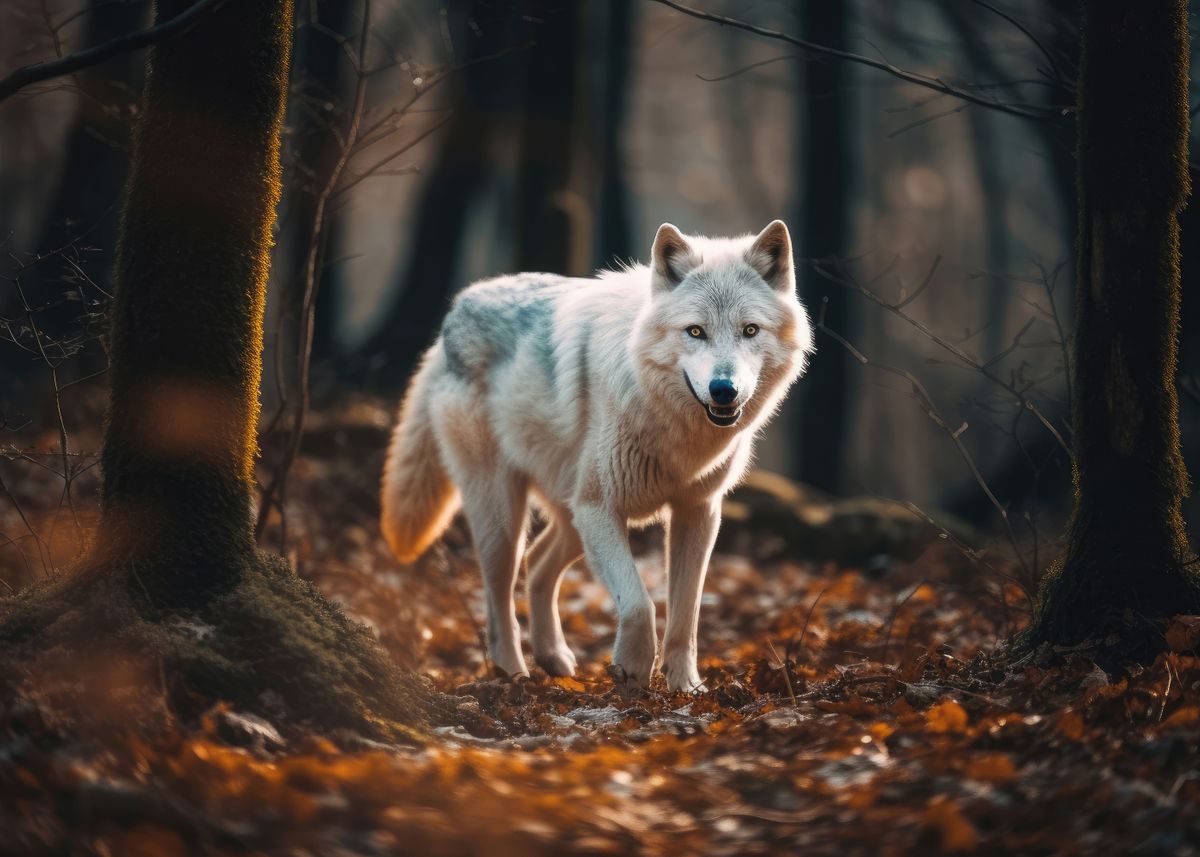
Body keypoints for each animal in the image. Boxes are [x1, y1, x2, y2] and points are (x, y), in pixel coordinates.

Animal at [380, 220, 815, 691]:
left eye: (750, 330)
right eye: (695, 331)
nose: (724, 390)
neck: (673, 428)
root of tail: (455, 312)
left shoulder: (697, 511)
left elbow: (686, 616)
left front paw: (686, 687)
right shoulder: (600, 508)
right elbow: (639, 605)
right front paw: (631, 677)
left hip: (572, 519)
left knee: (537, 564)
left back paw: (553, 658)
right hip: (507, 516)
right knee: (498, 598)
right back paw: (514, 674)